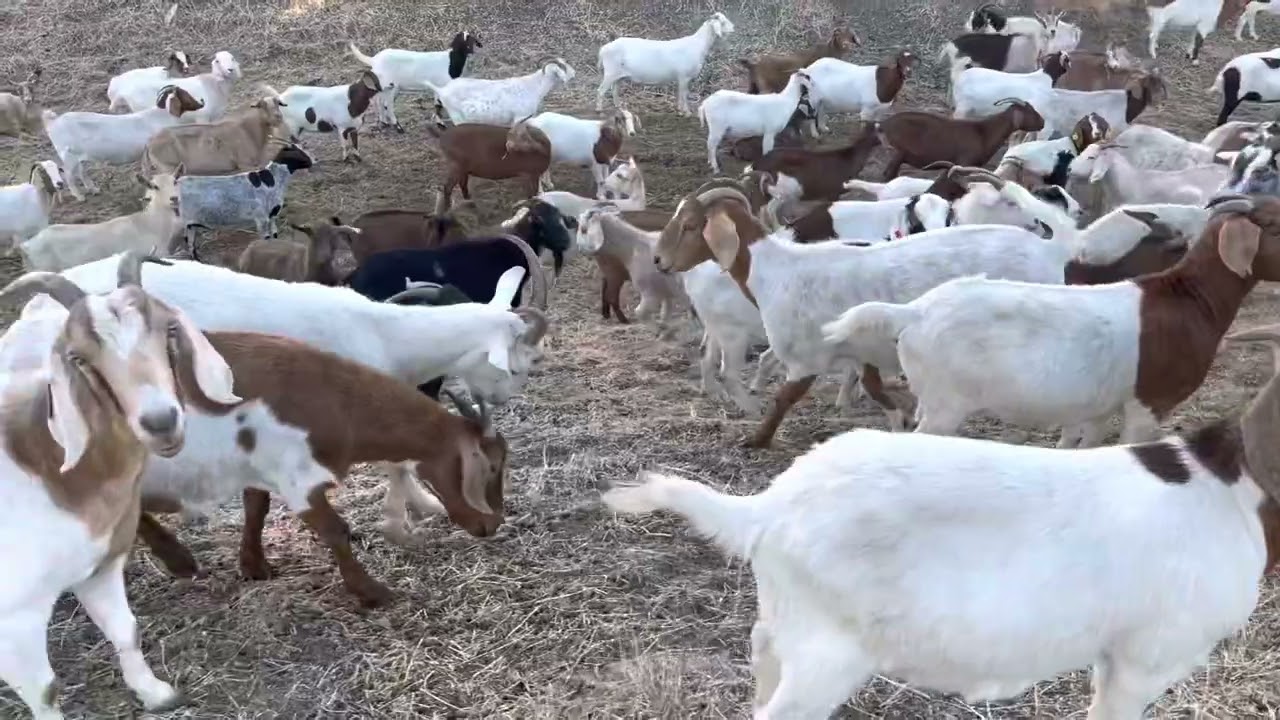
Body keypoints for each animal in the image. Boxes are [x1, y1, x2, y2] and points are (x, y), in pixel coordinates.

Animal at [0, 251, 237, 718]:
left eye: (169, 329)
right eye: (78, 357)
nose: (160, 421)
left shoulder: (99, 567)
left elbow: (126, 631)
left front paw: (157, 693)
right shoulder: (14, 618)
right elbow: (44, 691)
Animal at [348, 31, 482, 131]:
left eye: (472, 39)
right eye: (467, 39)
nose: (474, 50)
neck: (451, 60)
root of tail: (374, 60)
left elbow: (437, 104)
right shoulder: (441, 86)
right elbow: (440, 104)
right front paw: (442, 124)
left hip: (384, 87)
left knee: (380, 102)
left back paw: (384, 122)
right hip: (391, 86)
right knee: (388, 105)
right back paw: (398, 127)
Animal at [597, 12, 736, 114]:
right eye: (723, 22)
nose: (733, 28)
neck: (698, 45)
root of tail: (604, 49)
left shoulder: (681, 78)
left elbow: (681, 94)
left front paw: (680, 110)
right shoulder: (684, 76)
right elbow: (684, 94)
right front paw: (686, 112)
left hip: (618, 75)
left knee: (614, 90)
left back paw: (619, 108)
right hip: (610, 73)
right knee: (601, 91)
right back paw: (599, 110)